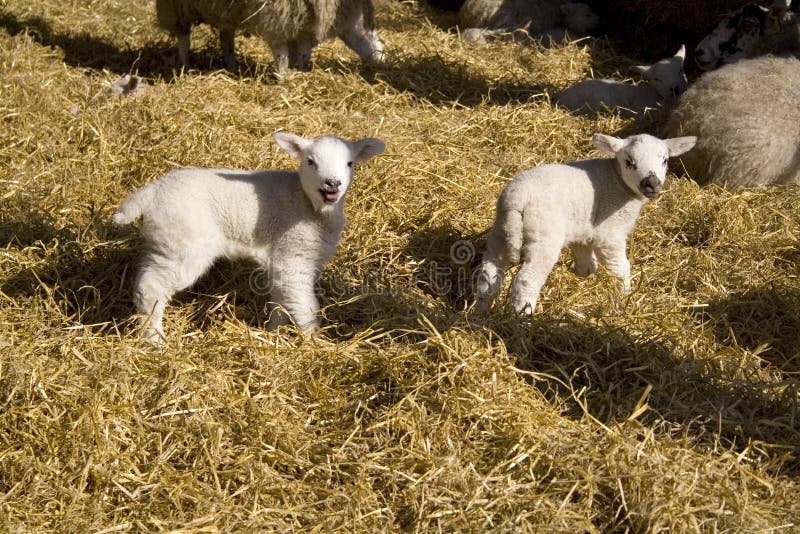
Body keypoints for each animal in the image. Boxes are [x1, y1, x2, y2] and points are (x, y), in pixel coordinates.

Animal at [112, 132, 386, 341]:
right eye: (310, 161)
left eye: (350, 163)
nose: (332, 183)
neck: (307, 203)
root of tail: (151, 192)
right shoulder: (292, 256)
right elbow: (303, 305)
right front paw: (314, 340)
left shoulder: (285, 260)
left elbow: (282, 300)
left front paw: (274, 332)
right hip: (185, 245)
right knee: (151, 288)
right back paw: (155, 340)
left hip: (166, 243)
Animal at [155, 0, 384, 75]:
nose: (382, 64)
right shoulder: (280, 16)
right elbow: (283, 53)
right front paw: (284, 79)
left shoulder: (302, 22)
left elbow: (302, 53)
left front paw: (300, 73)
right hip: (177, 7)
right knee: (183, 38)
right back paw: (185, 66)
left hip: (227, 11)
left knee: (226, 36)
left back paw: (231, 67)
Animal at [475, 133, 696, 315]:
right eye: (629, 162)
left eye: (665, 160)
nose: (652, 184)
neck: (617, 180)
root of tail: (516, 198)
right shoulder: (610, 233)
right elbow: (621, 267)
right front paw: (625, 295)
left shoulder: (583, 231)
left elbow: (587, 261)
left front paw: (584, 275)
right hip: (543, 235)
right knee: (526, 280)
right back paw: (522, 319)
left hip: (502, 231)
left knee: (488, 275)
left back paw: (480, 314)